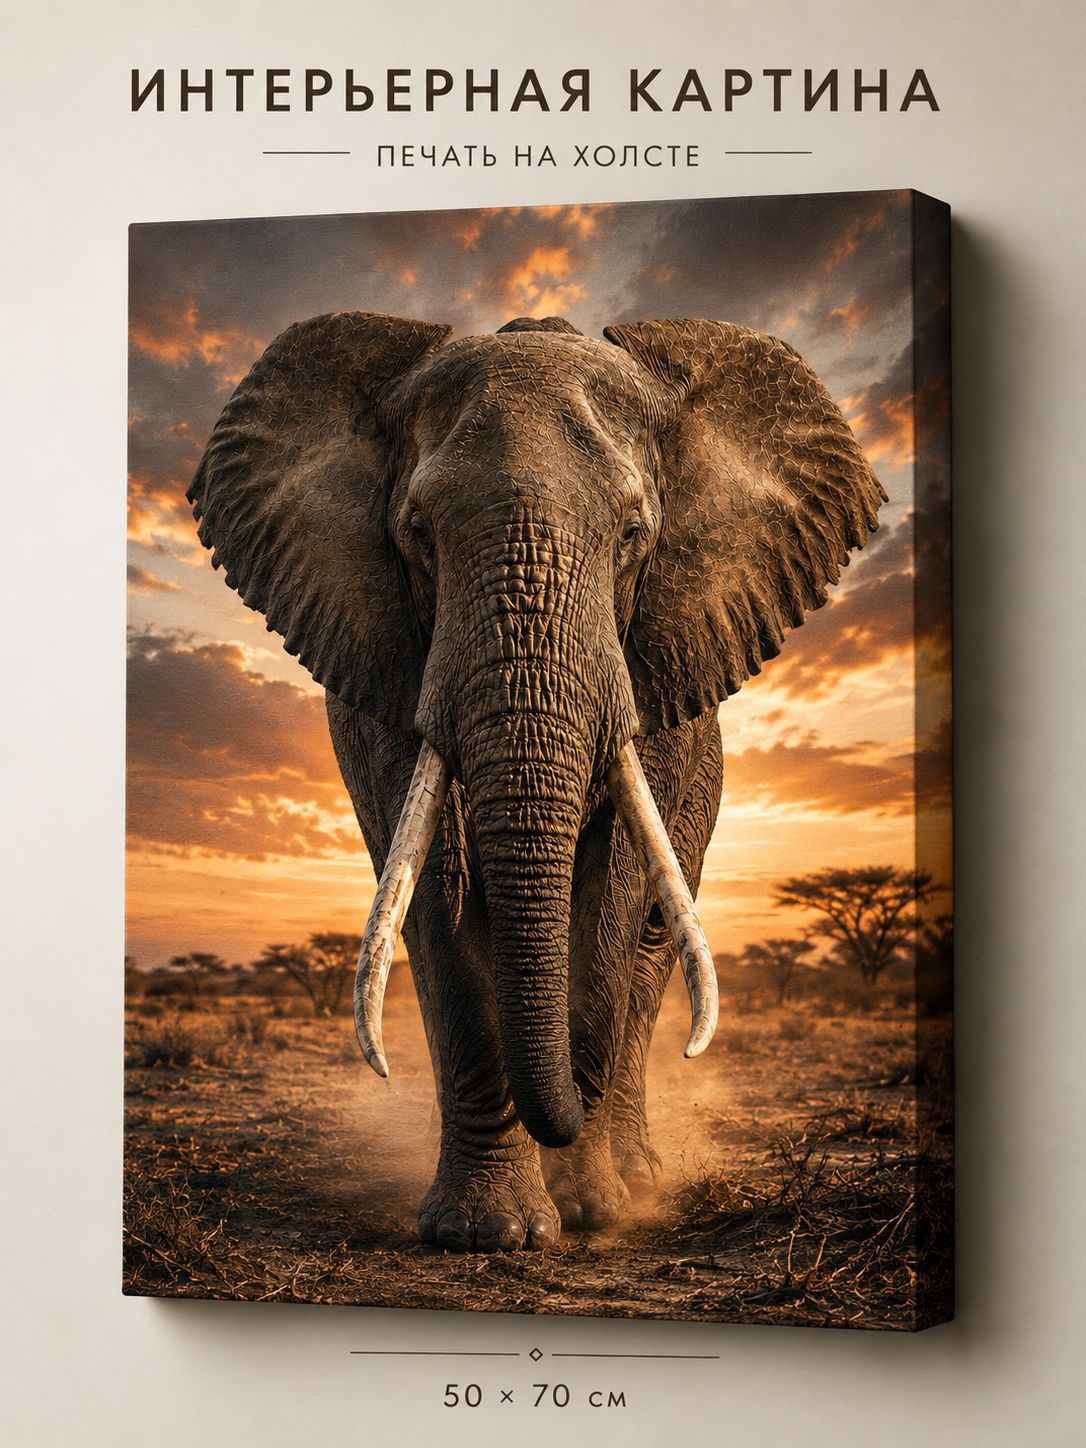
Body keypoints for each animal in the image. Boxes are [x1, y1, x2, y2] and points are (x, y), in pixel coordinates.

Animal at [189, 311, 883, 1252]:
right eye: (417, 533)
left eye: (632, 534)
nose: (563, 1109)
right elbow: (433, 905)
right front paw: (487, 1233)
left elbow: (613, 895)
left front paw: (589, 1210)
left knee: (653, 943)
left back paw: (632, 1177)